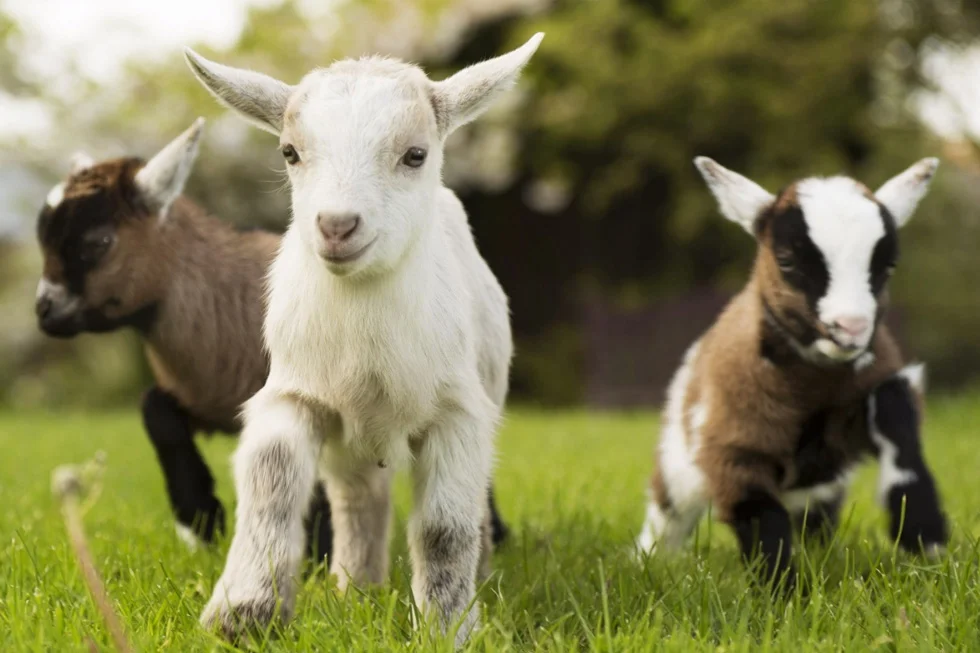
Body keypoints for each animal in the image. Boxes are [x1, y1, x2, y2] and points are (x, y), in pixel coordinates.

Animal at [183, 33, 542, 644]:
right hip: (350, 441)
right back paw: (356, 589)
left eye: (415, 154)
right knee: (358, 499)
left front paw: (448, 629)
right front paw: (243, 616)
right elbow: (271, 484)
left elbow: (444, 528)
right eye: (290, 152)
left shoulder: (457, 414)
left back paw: (476, 579)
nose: (336, 226)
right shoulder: (295, 393)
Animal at [636, 157, 948, 587]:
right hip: (677, 463)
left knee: (815, 518)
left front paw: (926, 538)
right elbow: (760, 517)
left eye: (887, 266)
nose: (850, 327)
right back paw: (645, 563)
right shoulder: (735, 448)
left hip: (818, 489)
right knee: (667, 515)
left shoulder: (869, 397)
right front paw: (782, 595)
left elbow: (895, 411)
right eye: (786, 261)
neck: (815, 385)